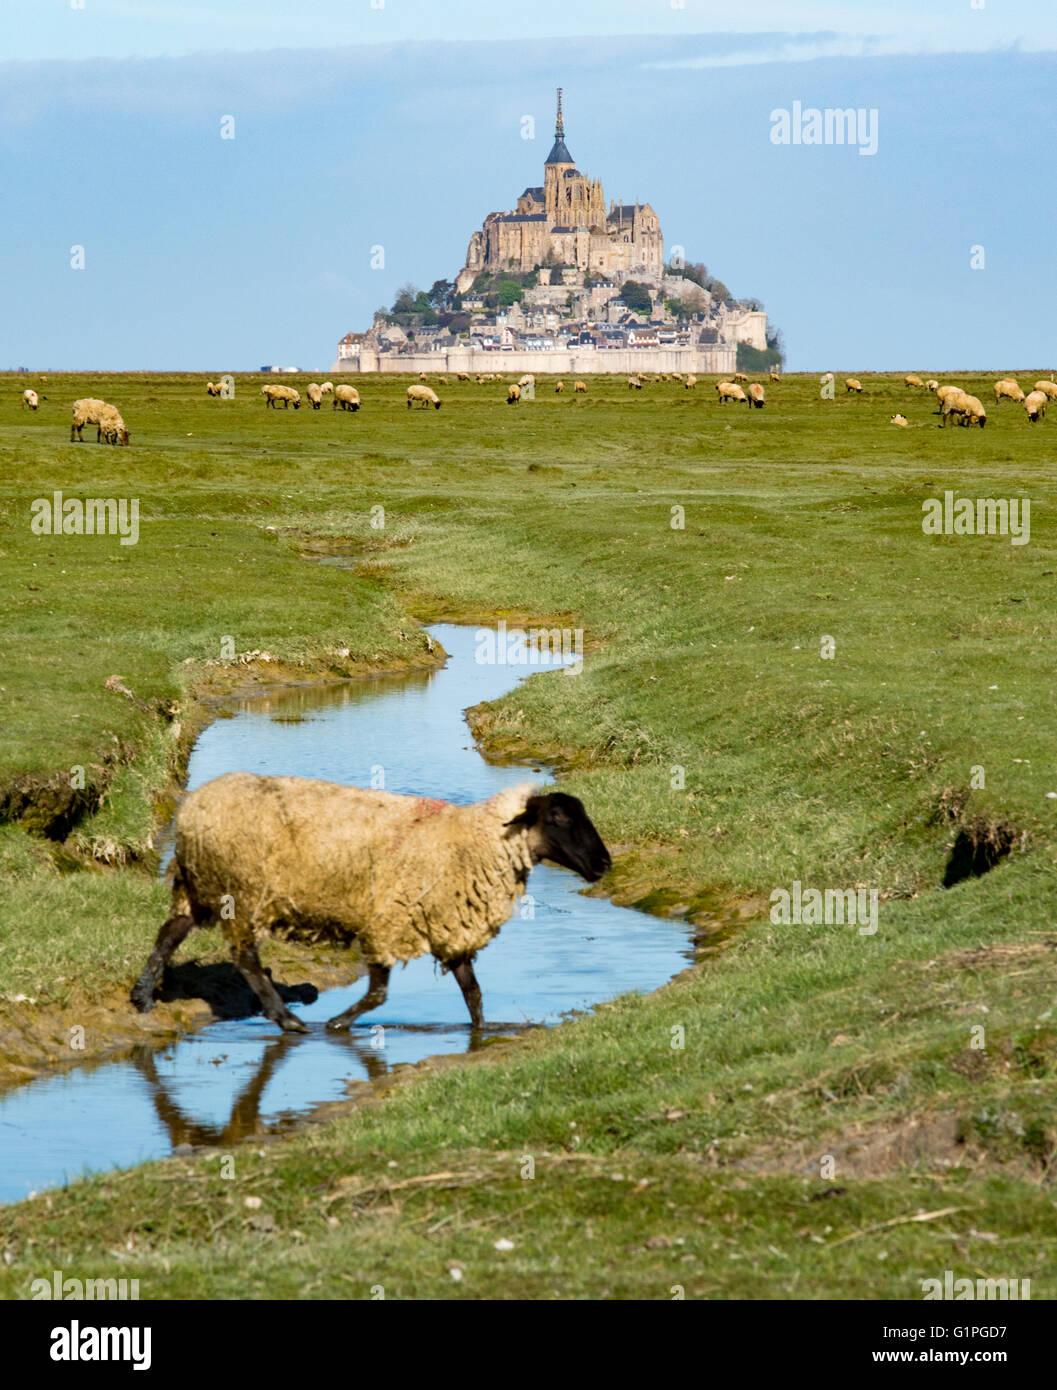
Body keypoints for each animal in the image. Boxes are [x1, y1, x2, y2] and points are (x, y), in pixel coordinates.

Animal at [130, 776, 611, 1033]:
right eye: (559, 817)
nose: (604, 864)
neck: (476, 842)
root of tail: (192, 809)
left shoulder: (447, 926)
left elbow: (472, 992)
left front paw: (480, 1032)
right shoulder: (387, 922)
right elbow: (378, 994)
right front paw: (338, 1025)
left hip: (198, 888)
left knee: (169, 933)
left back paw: (142, 995)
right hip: (241, 894)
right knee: (245, 958)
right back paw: (286, 1018)